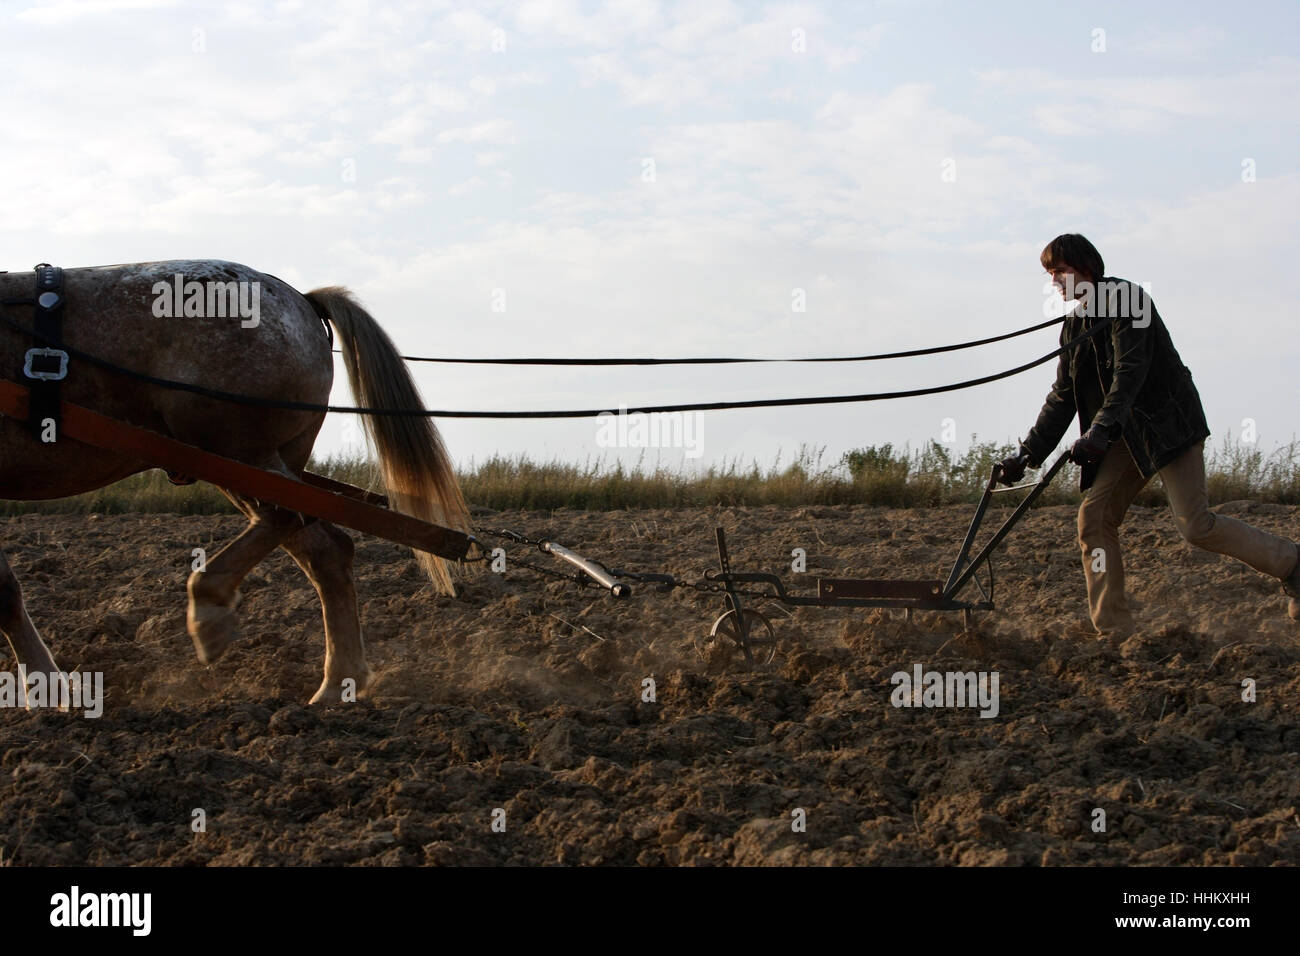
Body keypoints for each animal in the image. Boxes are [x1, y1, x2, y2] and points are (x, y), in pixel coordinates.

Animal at [0, 260, 470, 704]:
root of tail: (300, 300)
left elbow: (5, 590)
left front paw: (48, 689)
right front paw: (48, 688)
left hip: (232, 448)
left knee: (287, 515)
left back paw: (209, 610)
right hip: (261, 458)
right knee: (326, 549)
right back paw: (337, 682)